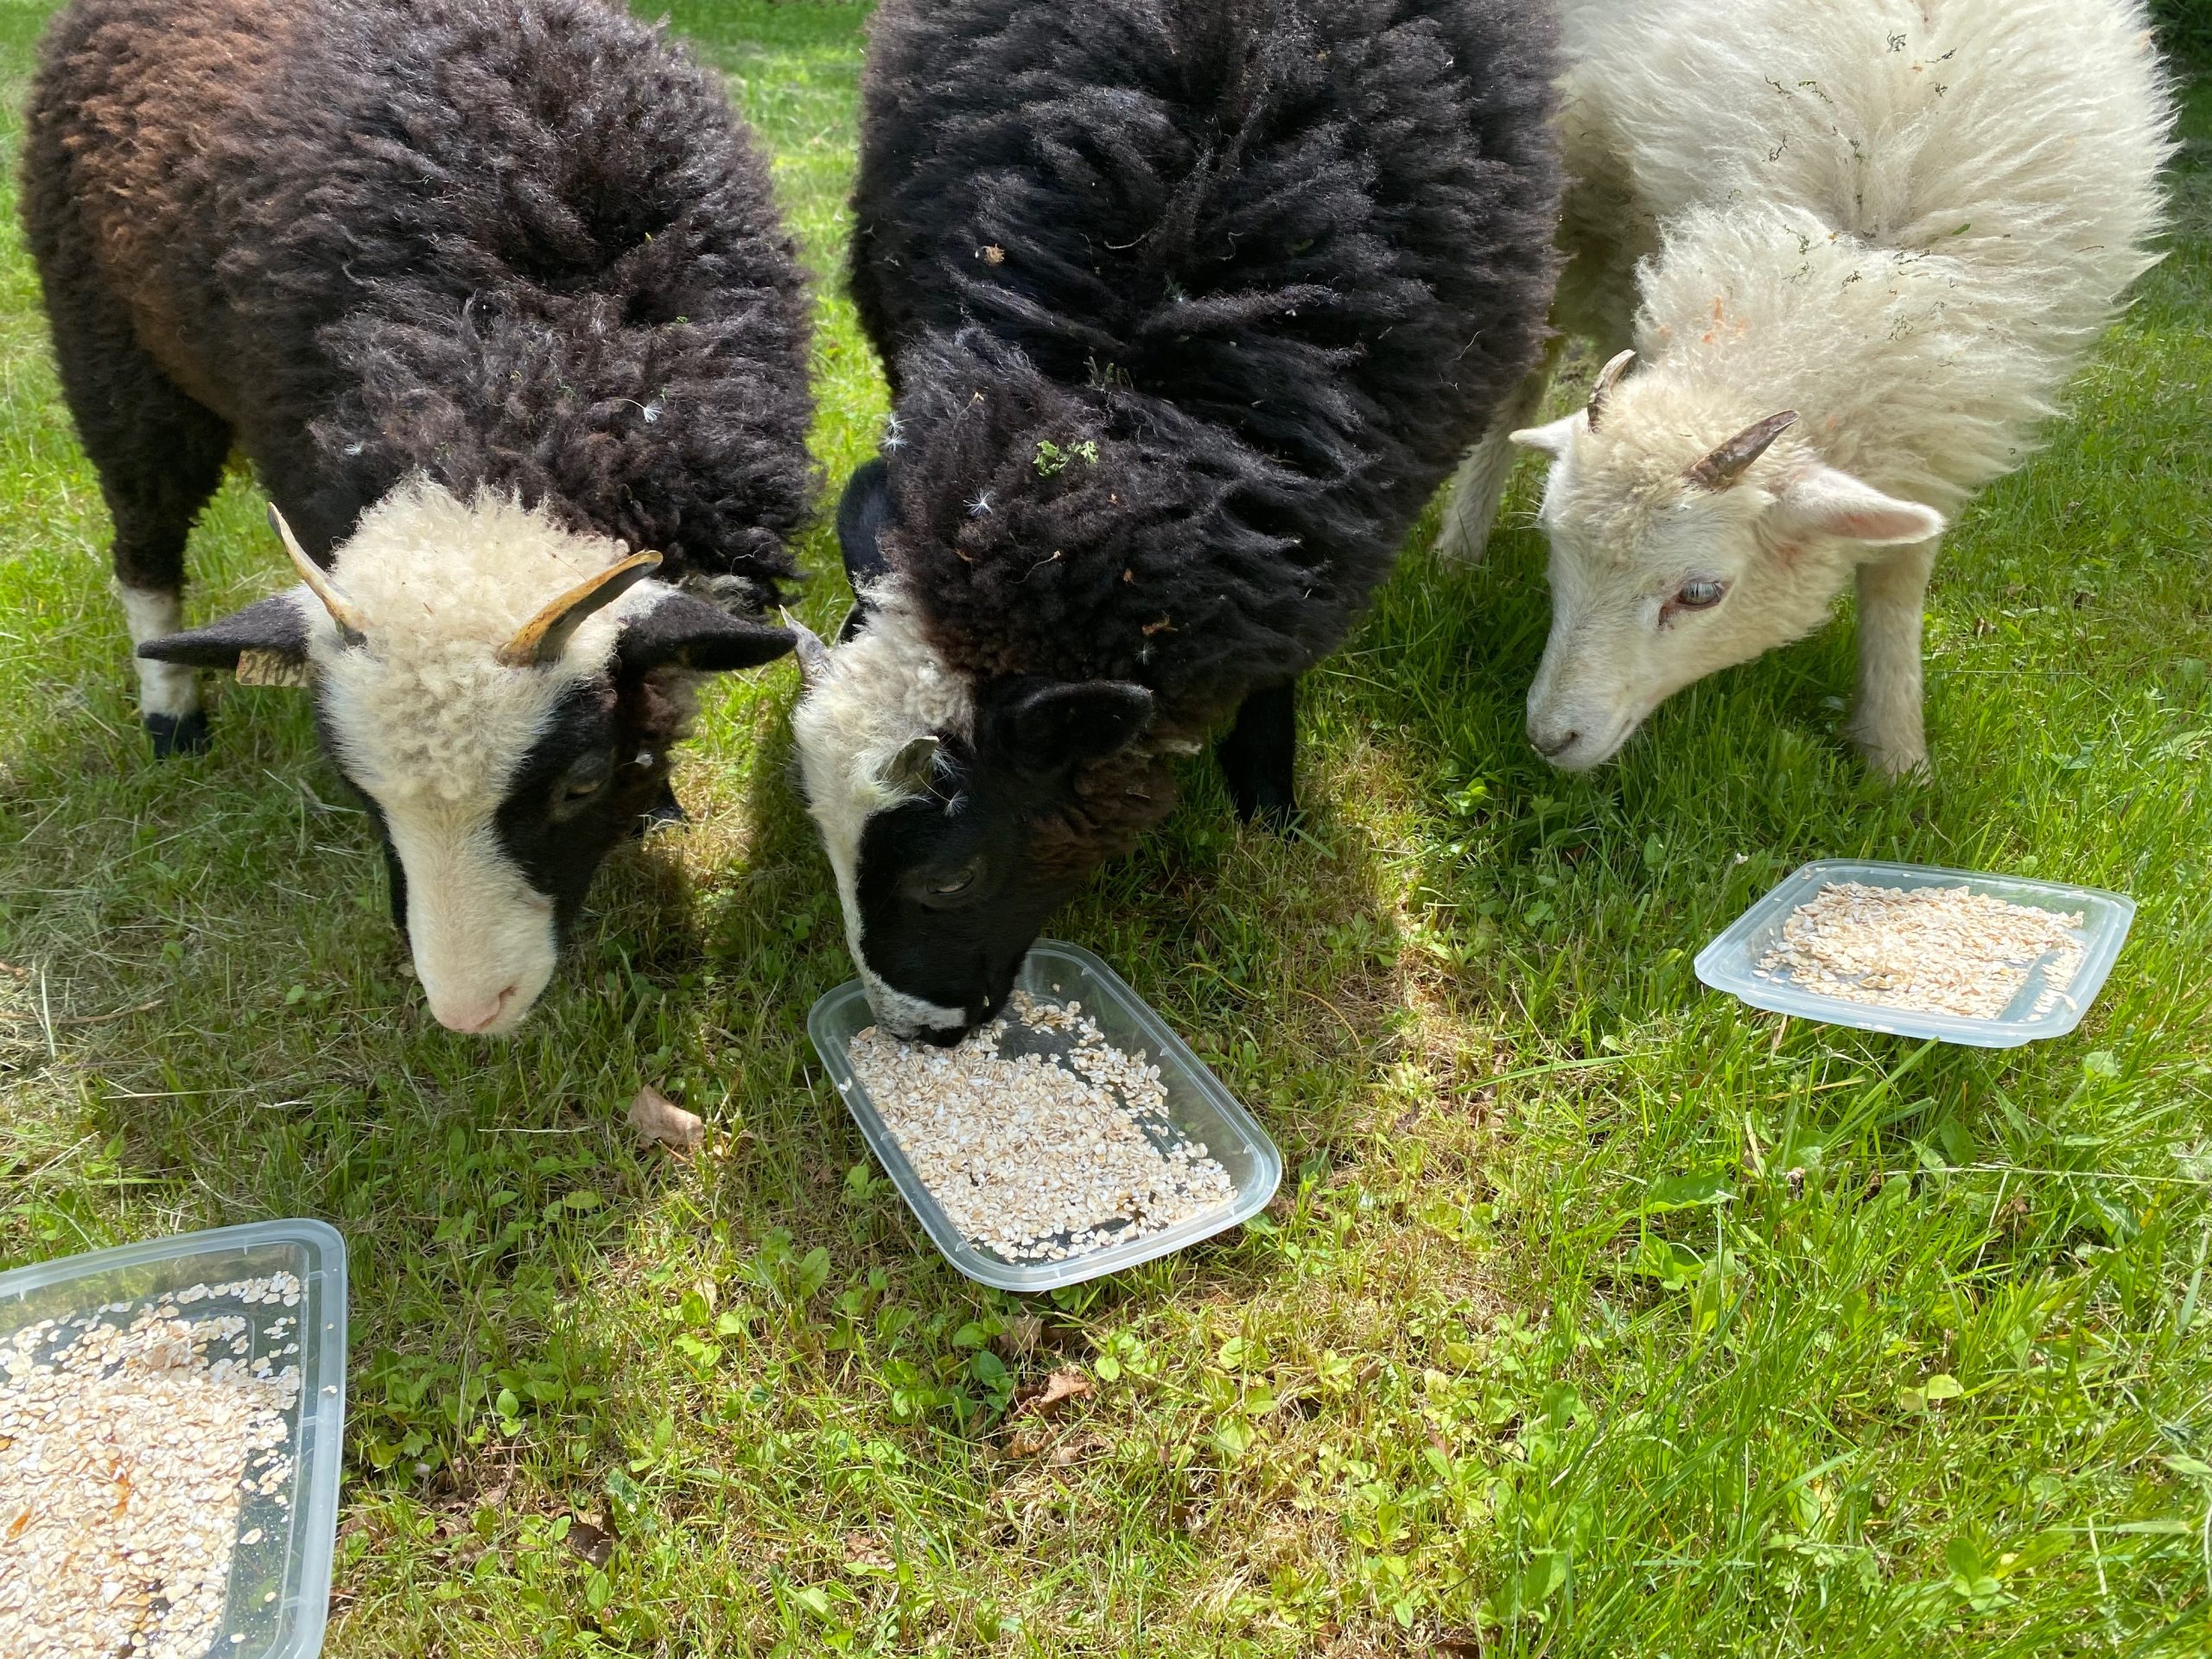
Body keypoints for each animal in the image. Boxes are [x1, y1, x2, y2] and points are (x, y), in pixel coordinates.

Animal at [22, 0, 813, 1033]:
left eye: (581, 784)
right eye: (354, 792)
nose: (470, 1014)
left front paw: (659, 797)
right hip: (111, 347)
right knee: (143, 540)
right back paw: (171, 714)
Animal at [1436, 0, 2175, 778]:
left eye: (1700, 594)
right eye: (1552, 539)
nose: (1550, 738)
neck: (1856, 263)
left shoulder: (1939, 417)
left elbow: (1902, 570)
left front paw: (1896, 754)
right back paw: (1460, 547)